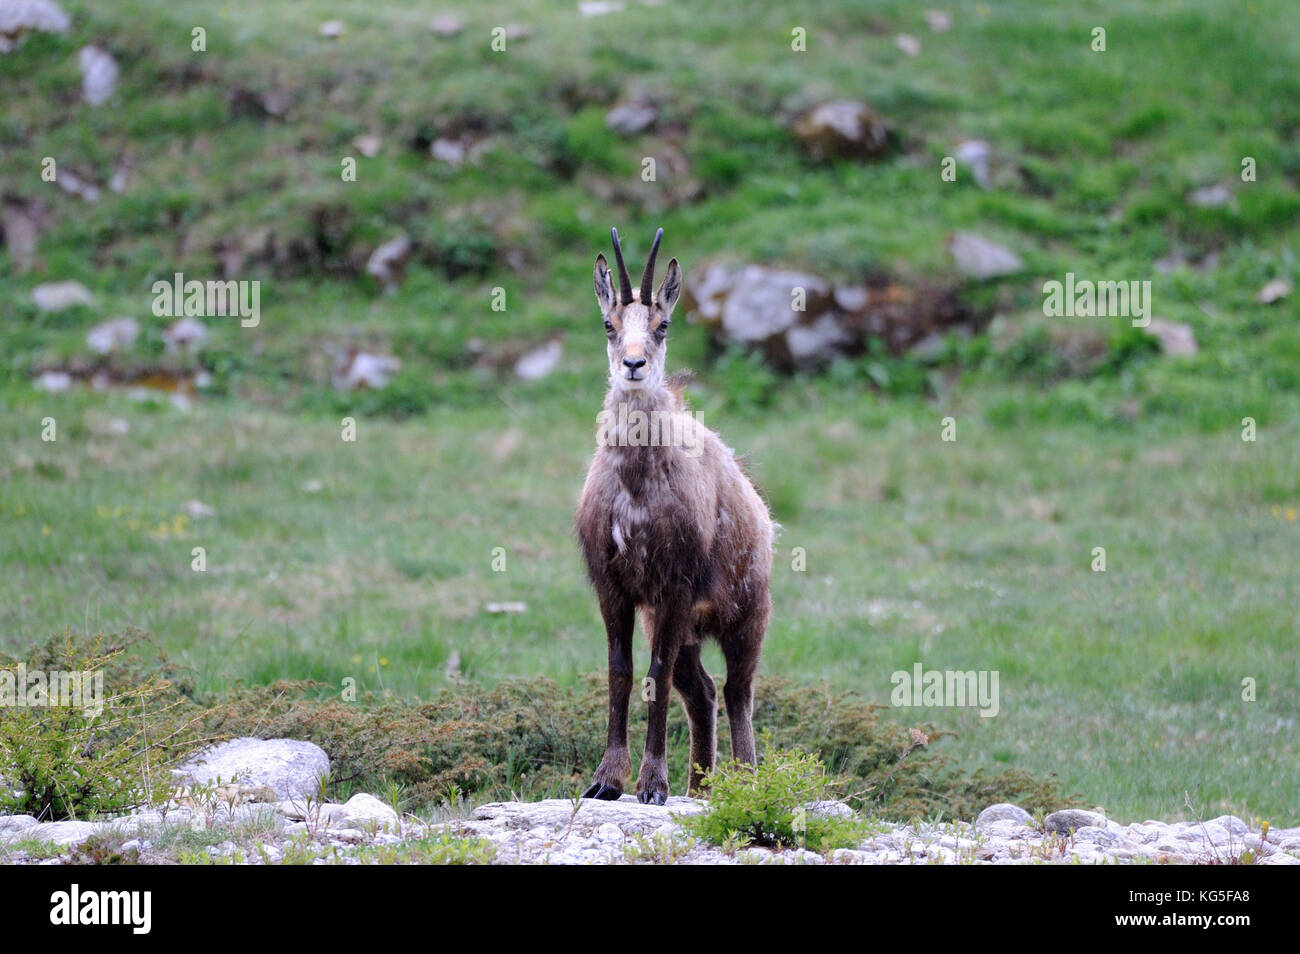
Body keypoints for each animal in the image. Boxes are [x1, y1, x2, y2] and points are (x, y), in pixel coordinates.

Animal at [576, 227, 774, 805]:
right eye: (609, 324)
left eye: (661, 325)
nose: (633, 366)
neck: (638, 488)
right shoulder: (616, 588)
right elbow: (621, 673)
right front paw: (607, 779)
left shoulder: (675, 585)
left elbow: (656, 677)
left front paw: (652, 784)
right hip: (683, 624)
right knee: (702, 691)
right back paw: (701, 788)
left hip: (746, 611)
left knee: (737, 690)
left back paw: (743, 783)